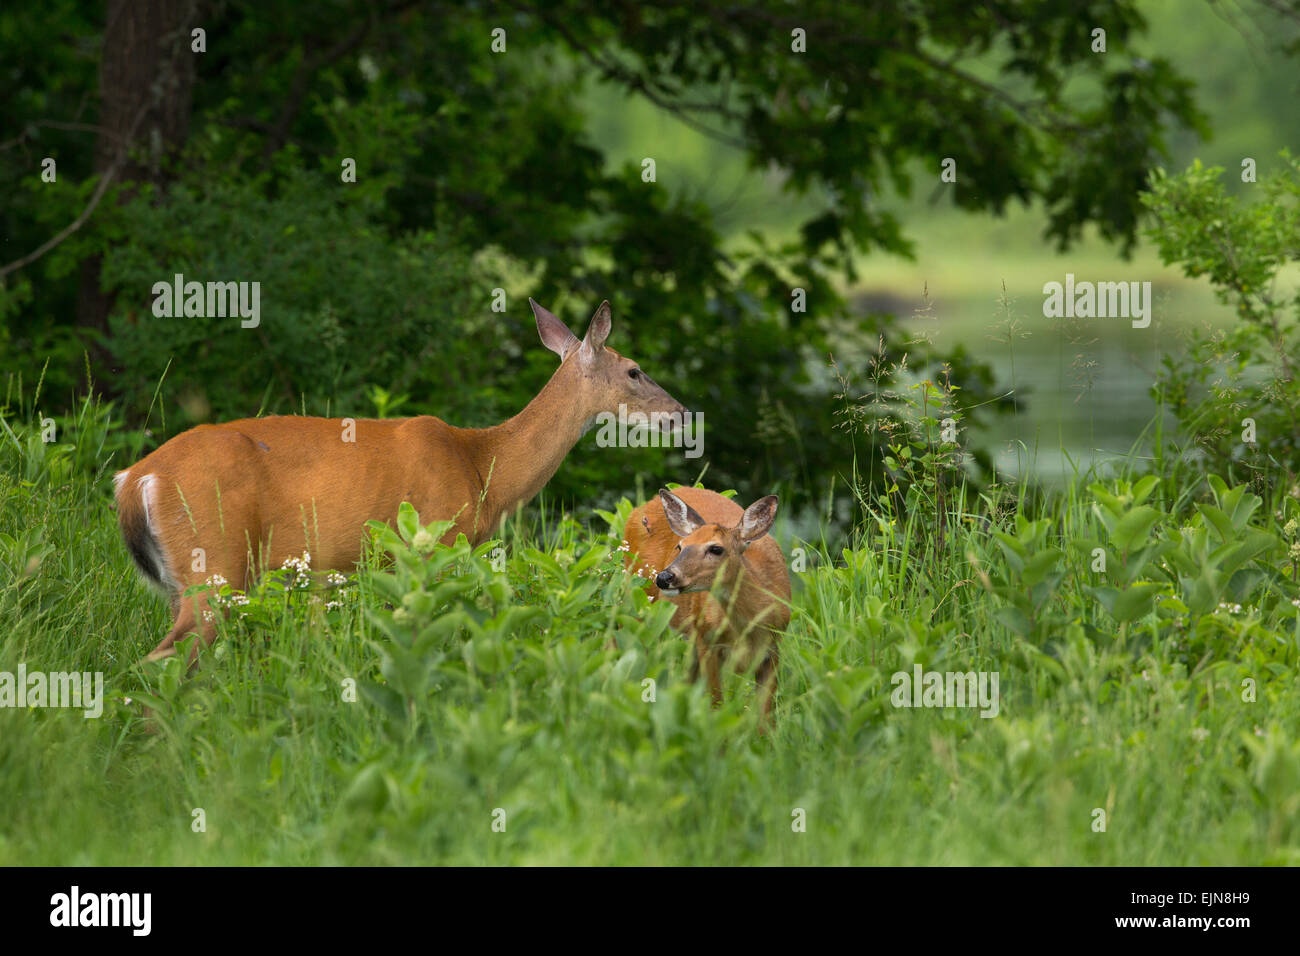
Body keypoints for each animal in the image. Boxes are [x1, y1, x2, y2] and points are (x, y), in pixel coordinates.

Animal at [115, 298, 689, 663]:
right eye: (635, 370)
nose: (682, 414)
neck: (482, 465)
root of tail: (135, 479)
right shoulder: (435, 543)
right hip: (215, 559)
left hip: (181, 579)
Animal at [623, 486, 791, 729]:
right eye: (680, 547)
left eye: (716, 548)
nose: (665, 577)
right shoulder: (707, 641)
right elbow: (716, 704)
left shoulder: (774, 646)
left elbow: (765, 717)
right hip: (639, 597)